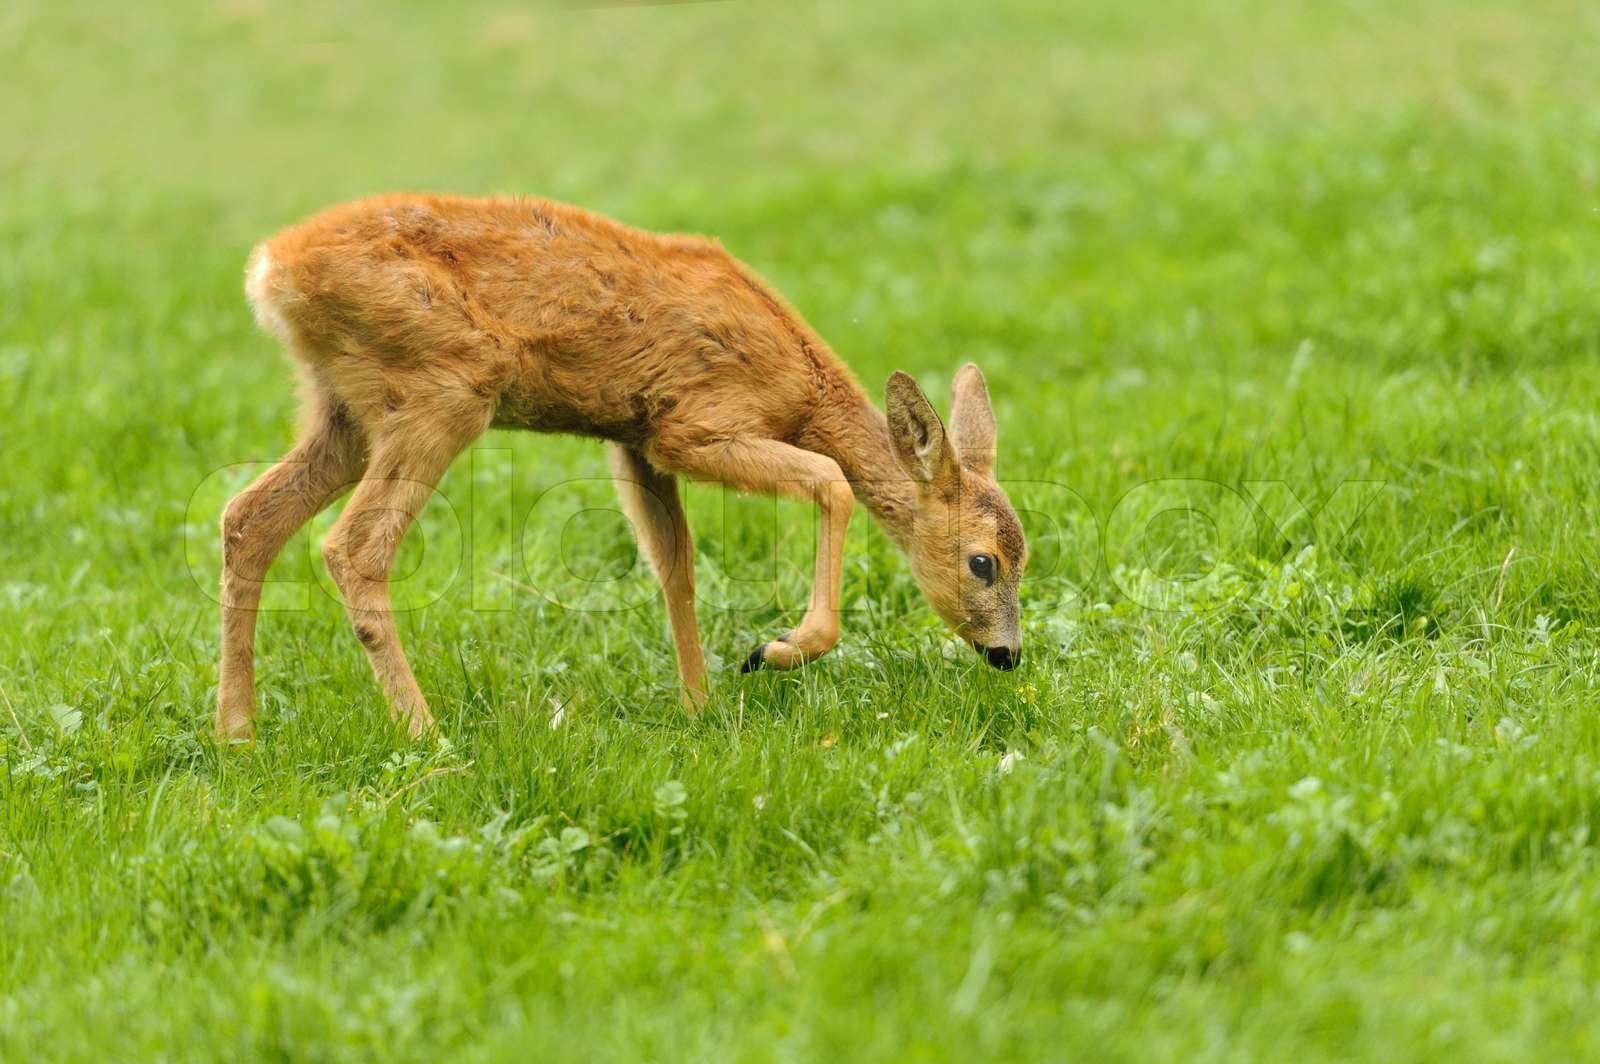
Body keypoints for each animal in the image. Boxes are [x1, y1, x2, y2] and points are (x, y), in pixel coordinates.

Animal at [217, 194, 1027, 741]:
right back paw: (428, 736)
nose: (1008, 655)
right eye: (983, 561)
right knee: (353, 546)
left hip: (345, 411)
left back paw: (238, 734)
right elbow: (831, 481)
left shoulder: (633, 440)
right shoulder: (692, 424)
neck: (799, 384)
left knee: (247, 518)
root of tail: (269, 272)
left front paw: (700, 707)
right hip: (440, 390)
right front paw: (772, 651)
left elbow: (675, 563)